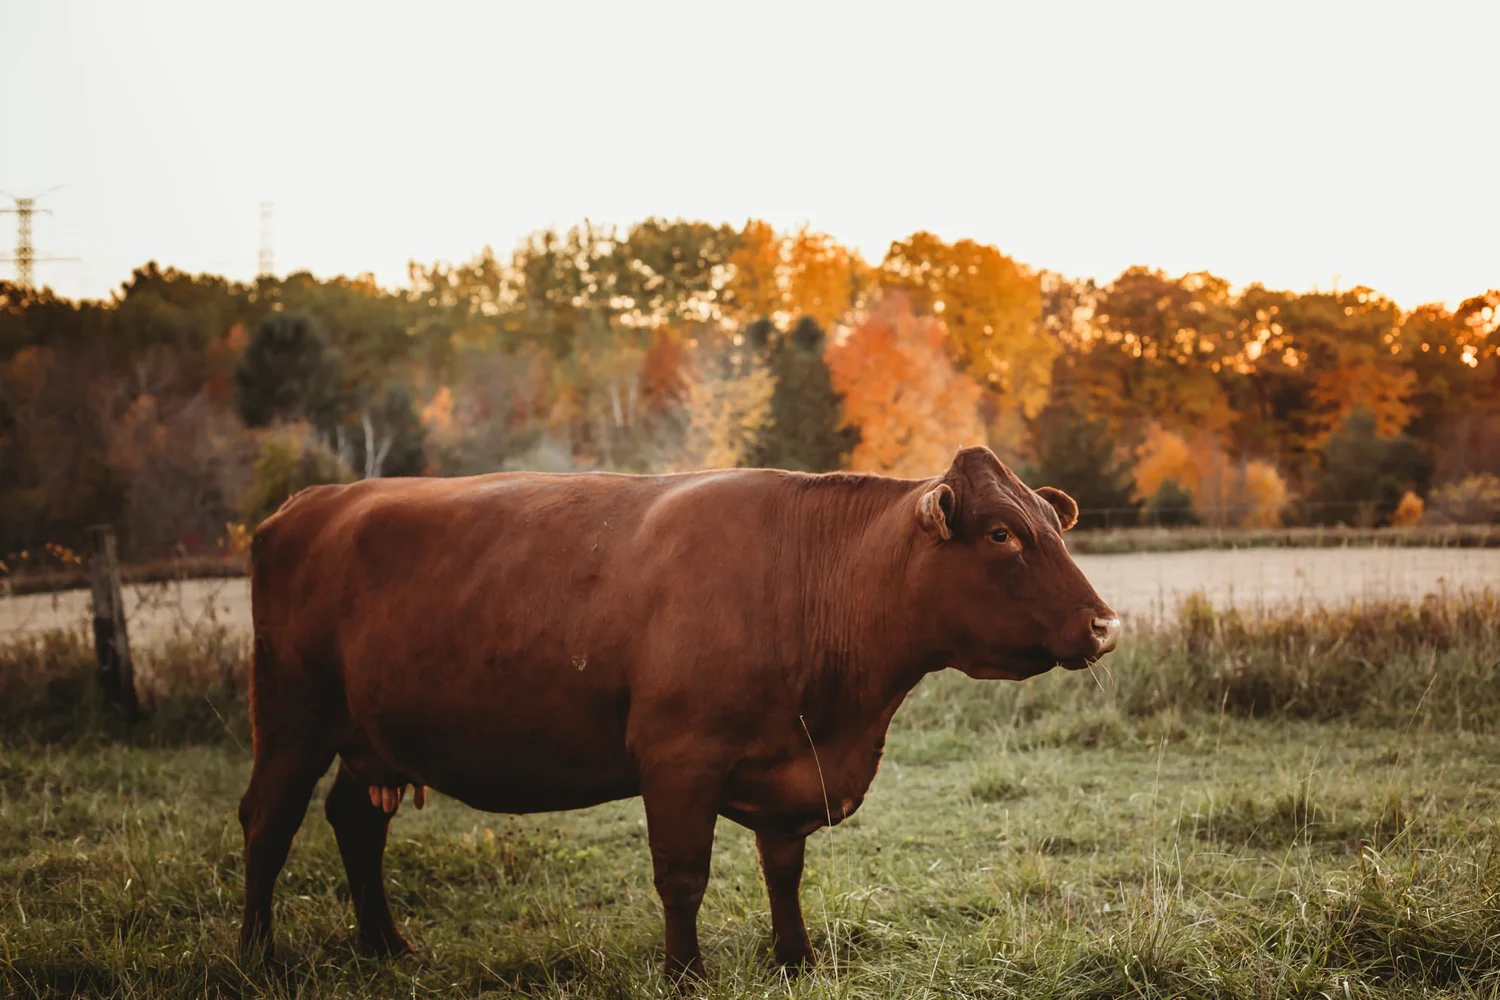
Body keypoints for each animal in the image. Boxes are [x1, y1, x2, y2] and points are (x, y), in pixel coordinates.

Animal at [237, 446, 1120, 982]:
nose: (1105, 624)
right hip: (291, 718)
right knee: (268, 822)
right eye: (1002, 535)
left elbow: (783, 869)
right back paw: (259, 955)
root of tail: (307, 504)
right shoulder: (678, 757)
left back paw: (388, 947)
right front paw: (685, 973)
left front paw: (794, 958)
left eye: (1053, 526)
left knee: (356, 819)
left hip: (367, 738)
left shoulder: (791, 765)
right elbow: (683, 875)